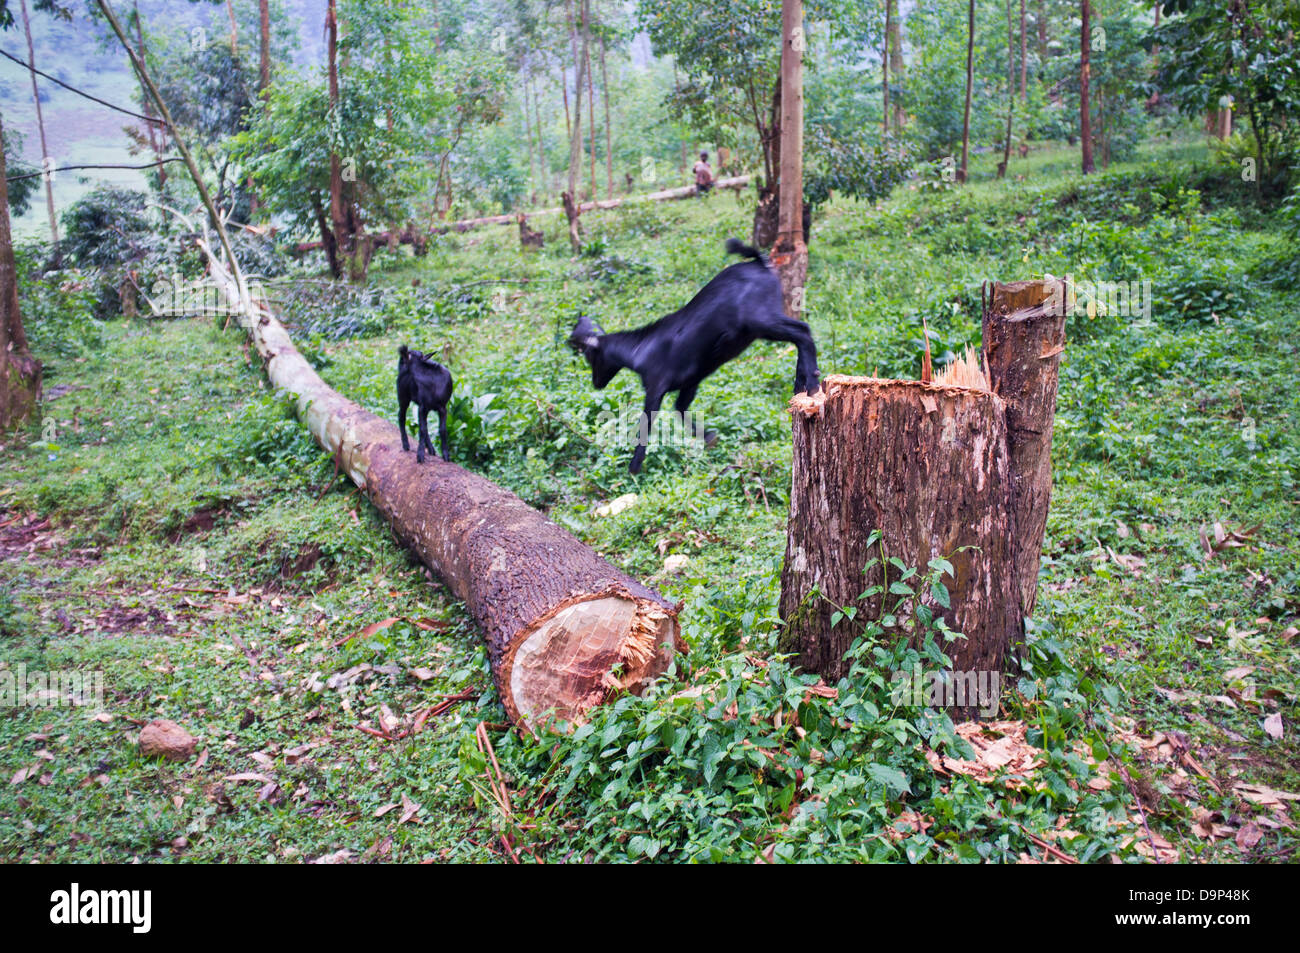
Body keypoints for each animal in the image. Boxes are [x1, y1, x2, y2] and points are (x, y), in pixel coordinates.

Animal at [569, 238, 820, 474]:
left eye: (590, 355)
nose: (596, 383)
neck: (641, 350)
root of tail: (759, 262)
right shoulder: (691, 382)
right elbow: (680, 409)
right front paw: (708, 437)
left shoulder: (656, 387)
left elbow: (647, 421)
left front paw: (634, 466)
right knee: (801, 334)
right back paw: (800, 382)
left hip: (761, 320)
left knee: (802, 331)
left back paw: (812, 382)